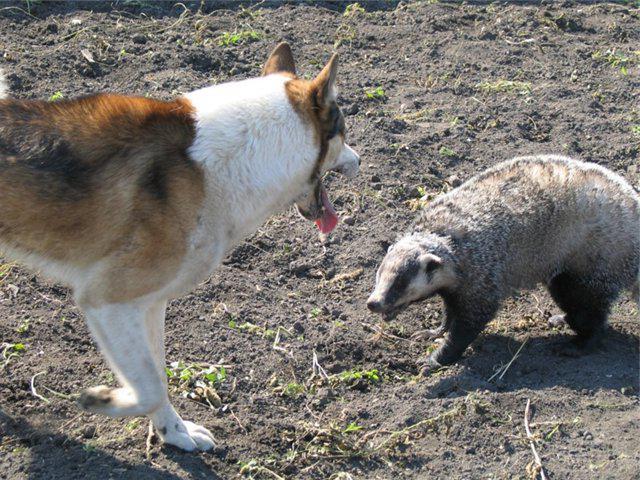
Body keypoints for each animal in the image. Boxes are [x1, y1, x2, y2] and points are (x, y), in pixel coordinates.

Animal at [0, 43, 360, 452]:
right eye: (343, 133)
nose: (360, 160)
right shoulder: (106, 300)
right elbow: (150, 387)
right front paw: (104, 400)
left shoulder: (148, 303)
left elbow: (157, 375)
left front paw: (173, 432)